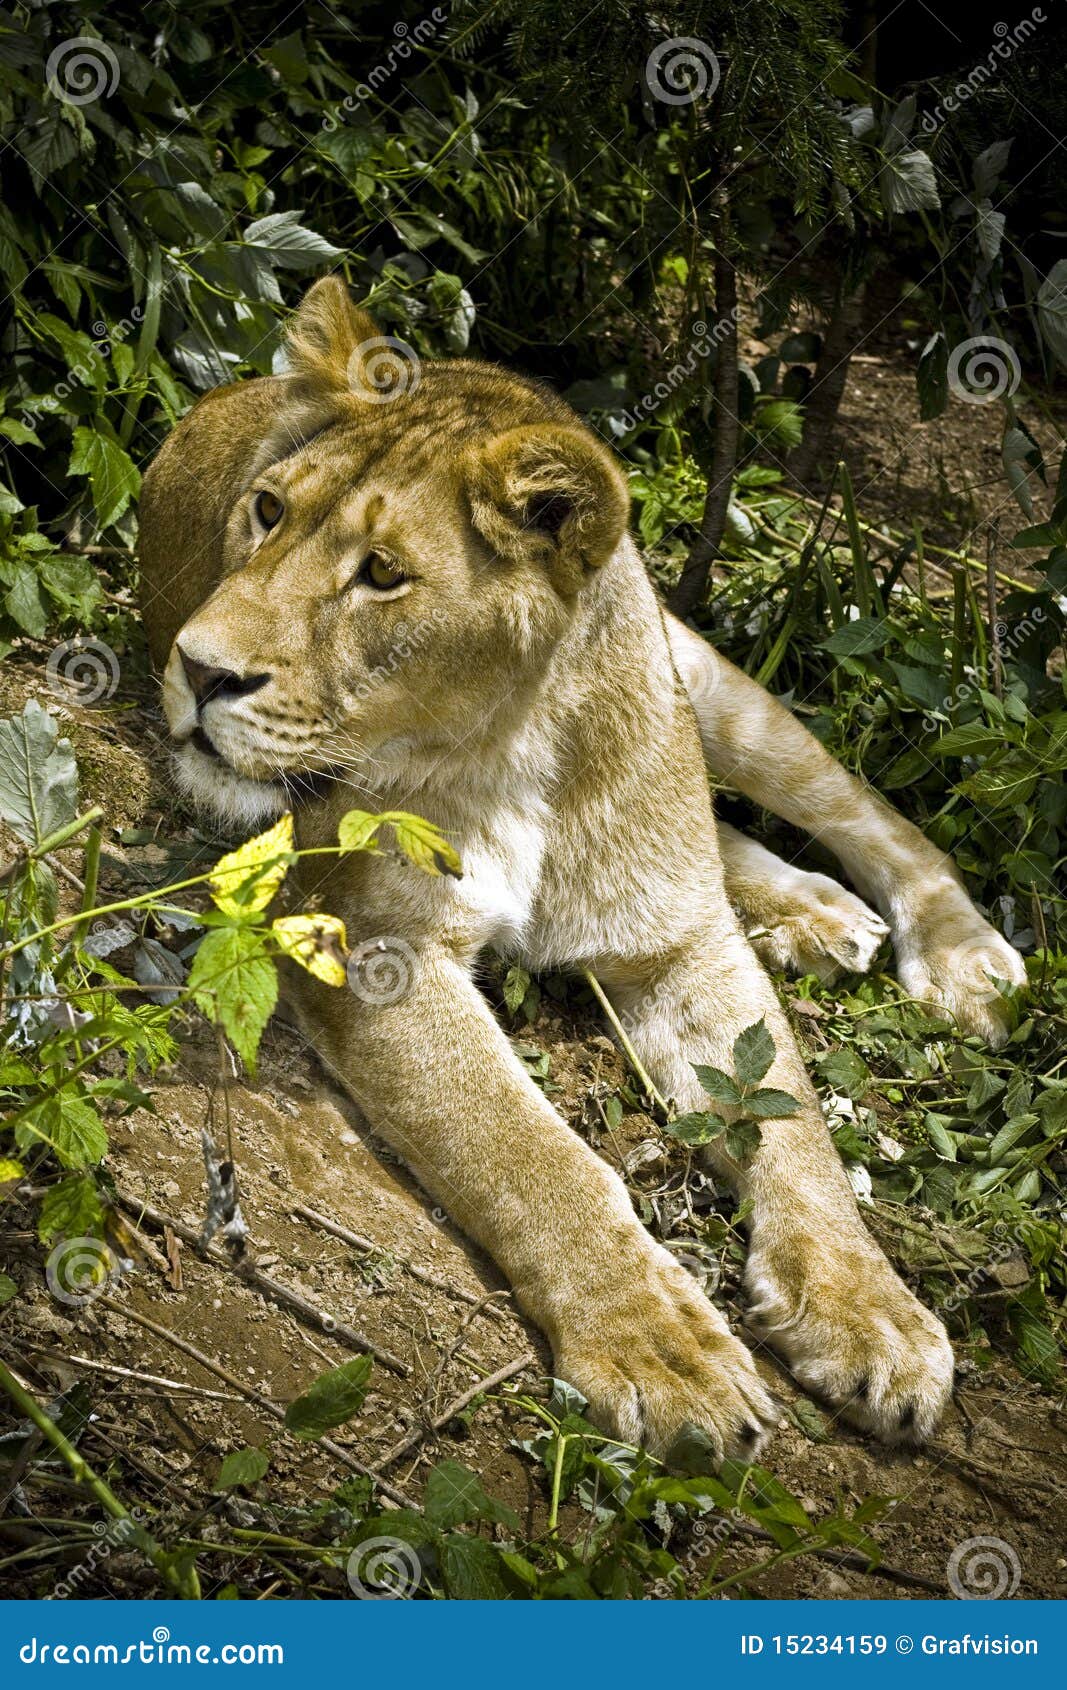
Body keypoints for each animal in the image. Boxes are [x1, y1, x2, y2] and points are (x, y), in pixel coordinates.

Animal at [139, 277, 1026, 1464]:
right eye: (268, 511)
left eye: (383, 575)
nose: (196, 669)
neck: (513, 744)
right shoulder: (376, 946)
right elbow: (531, 1153)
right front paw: (660, 1351)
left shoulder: (685, 952)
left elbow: (797, 1136)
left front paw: (869, 1312)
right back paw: (814, 915)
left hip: (705, 677)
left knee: (859, 810)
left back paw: (953, 954)